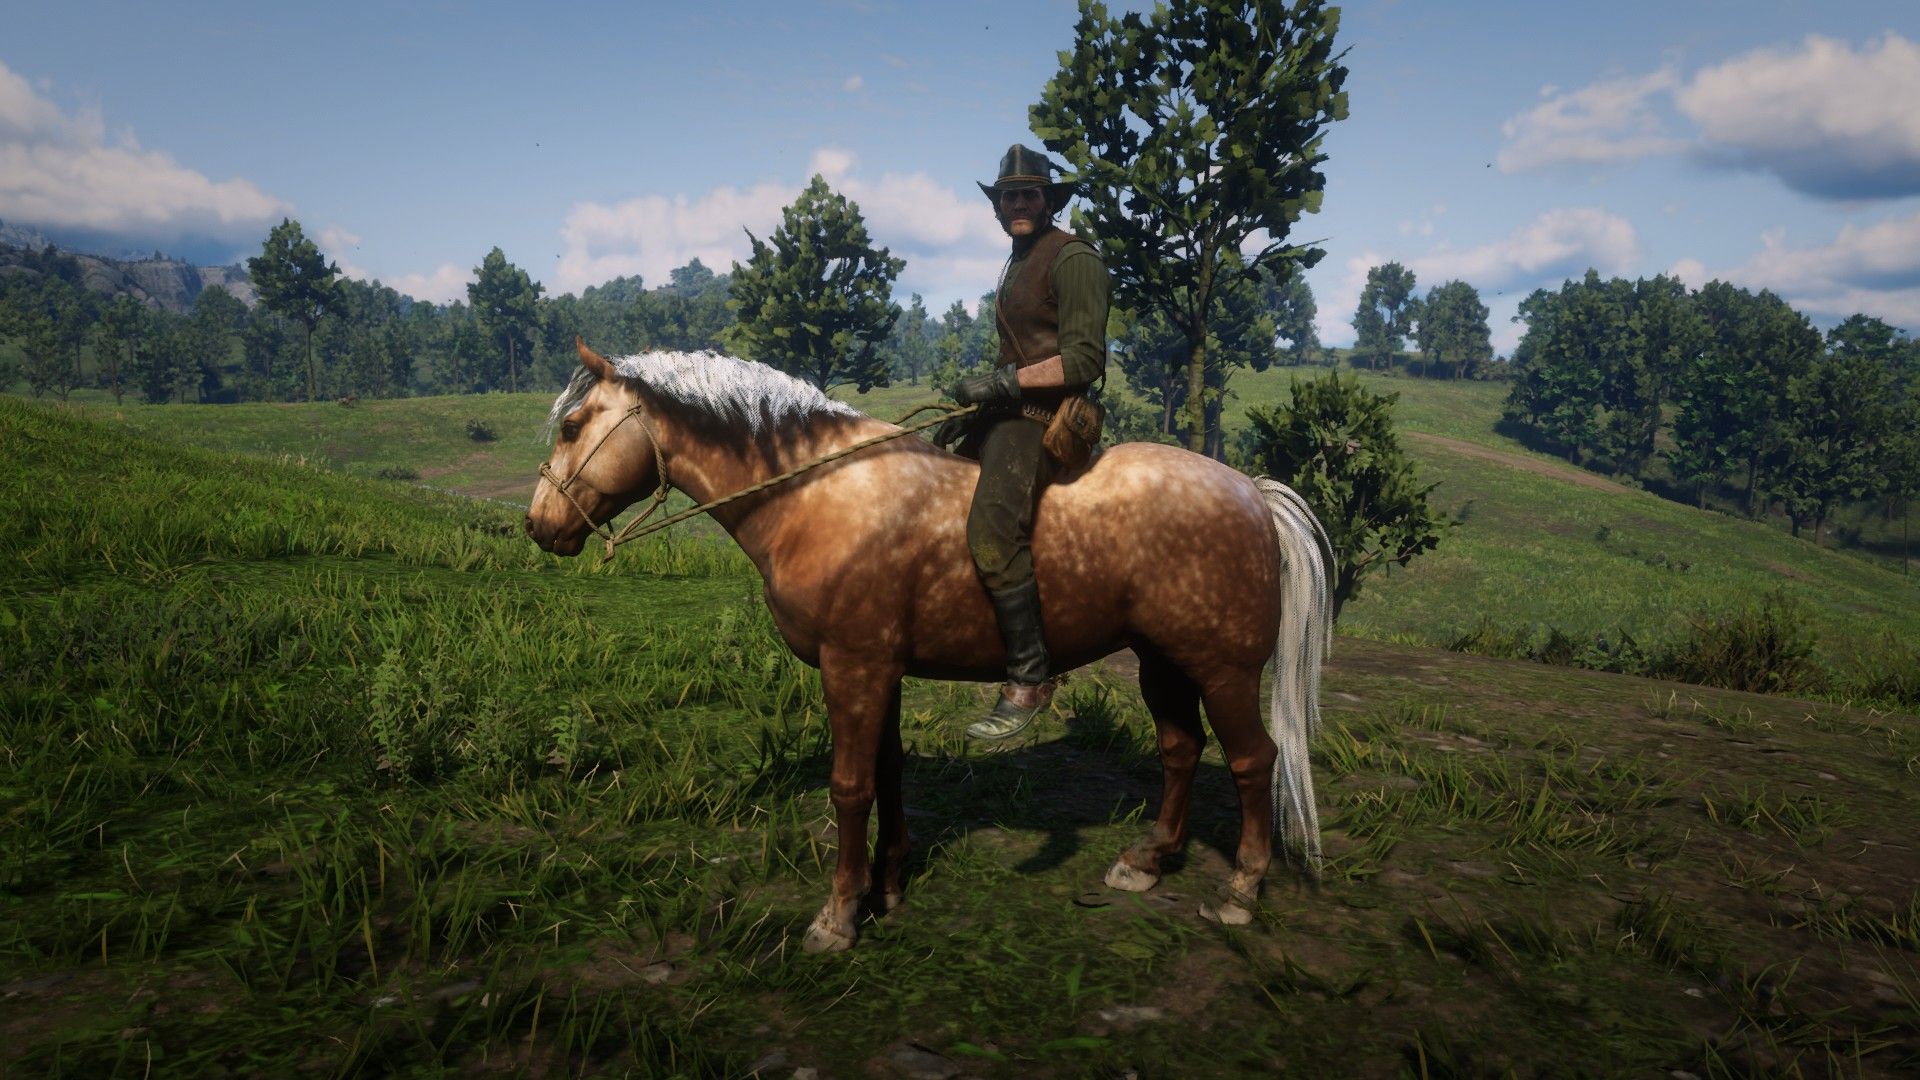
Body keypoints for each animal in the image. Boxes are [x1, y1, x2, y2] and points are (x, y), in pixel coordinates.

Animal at [525, 340, 1333, 953]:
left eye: (573, 426)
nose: (538, 525)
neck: (819, 494)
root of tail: (1250, 490)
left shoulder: (852, 667)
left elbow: (851, 788)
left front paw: (839, 915)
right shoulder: (878, 670)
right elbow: (887, 776)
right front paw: (886, 886)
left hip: (1222, 670)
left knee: (1253, 761)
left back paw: (1241, 889)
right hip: (1163, 661)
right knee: (1179, 749)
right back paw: (1149, 859)